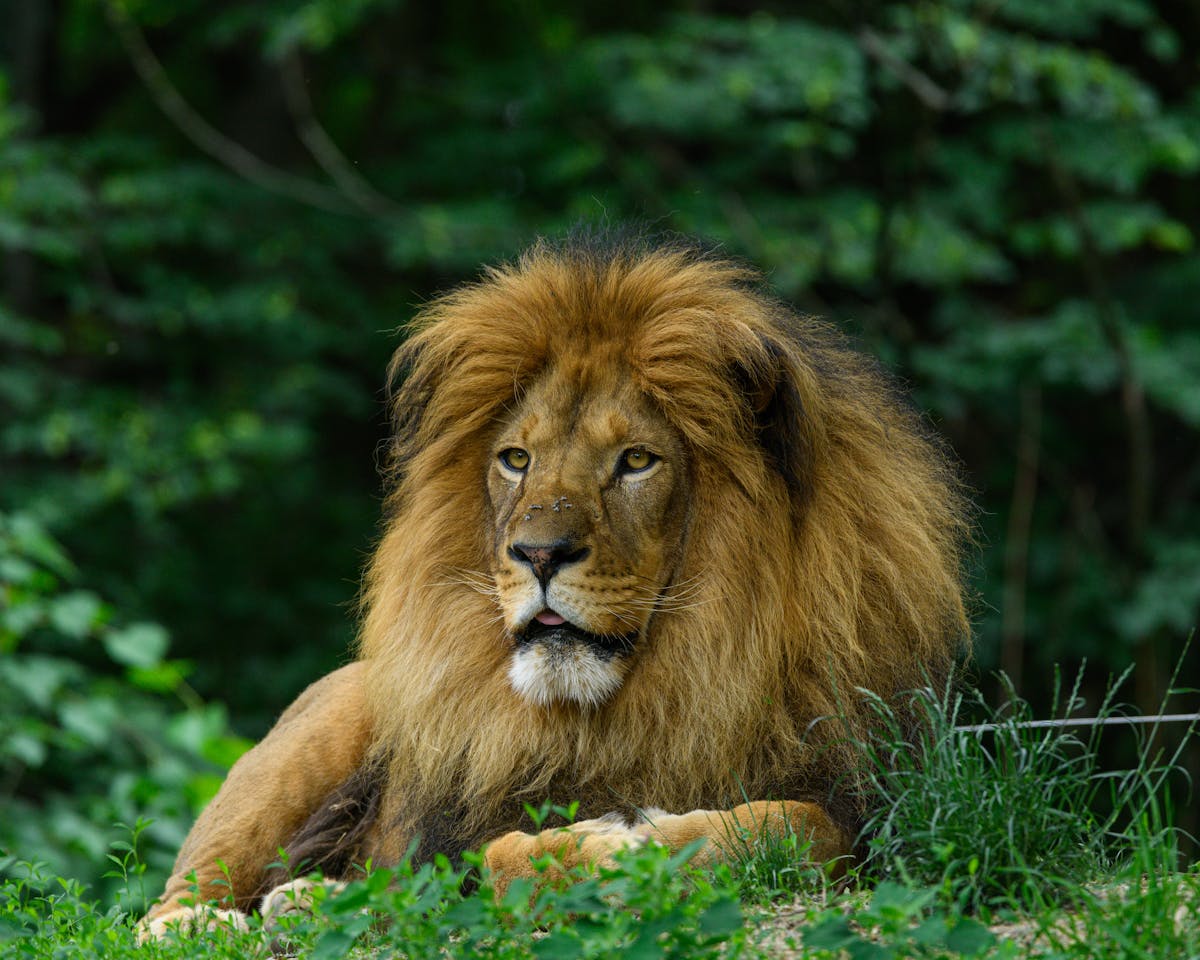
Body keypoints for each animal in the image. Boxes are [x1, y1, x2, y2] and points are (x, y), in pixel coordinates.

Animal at [141, 230, 970, 938]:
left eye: (636, 461)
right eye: (516, 459)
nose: (538, 554)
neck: (663, 688)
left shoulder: (861, 800)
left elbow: (792, 825)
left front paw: (647, 839)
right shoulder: (466, 834)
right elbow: (507, 854)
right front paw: (607, 848)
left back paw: (308, 902)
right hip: (321, 724)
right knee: (169, 900)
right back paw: (213, 922)